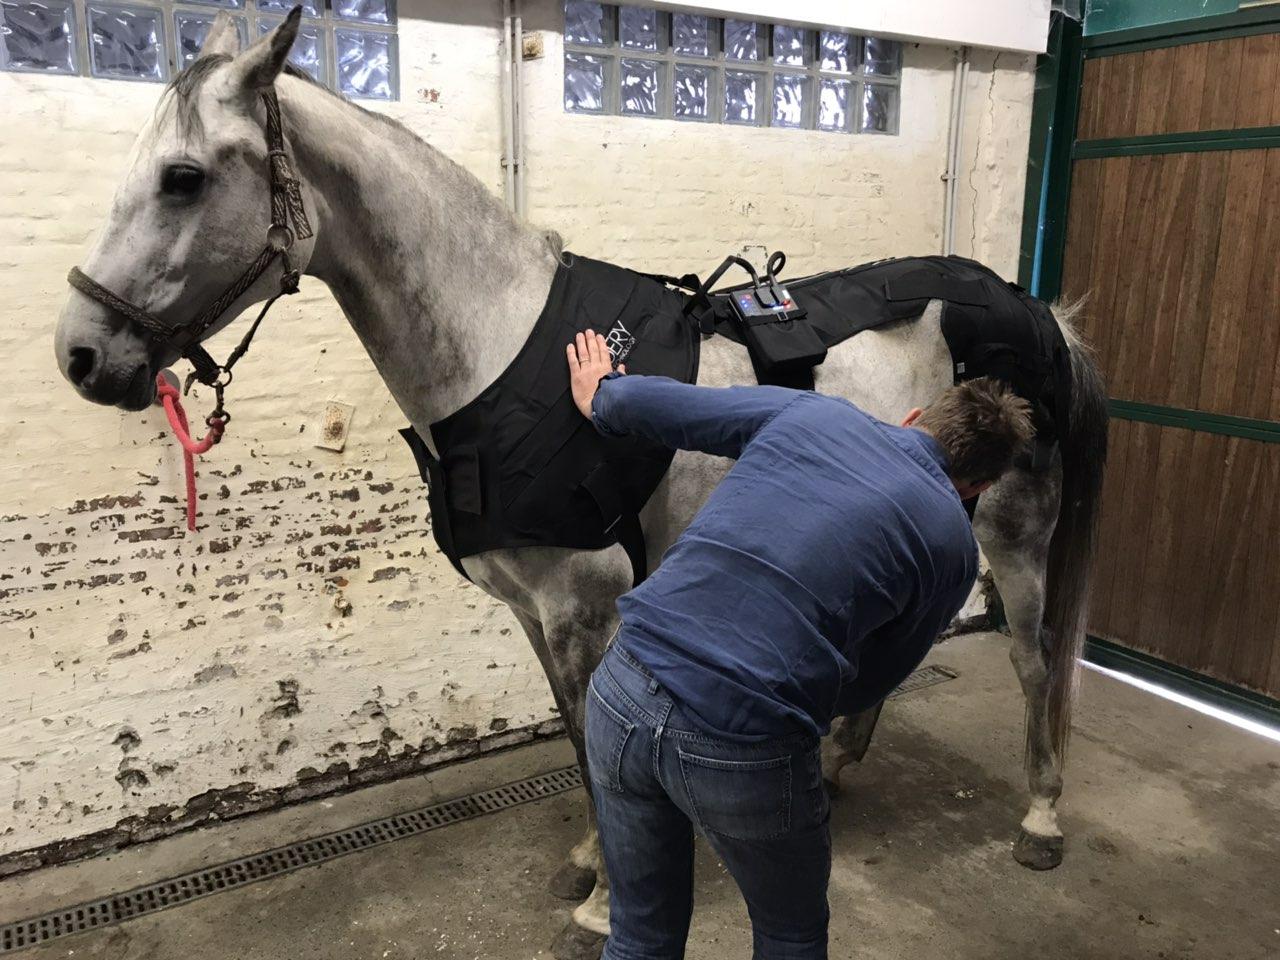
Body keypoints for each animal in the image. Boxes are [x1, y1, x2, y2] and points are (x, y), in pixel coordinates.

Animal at [52, 14, 1107, 958]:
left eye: (183, 178)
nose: (80, 356)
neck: (505, 352)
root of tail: (1036, 313)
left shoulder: (584, 608)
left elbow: (598, 755)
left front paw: (602, 902)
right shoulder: (534, 612)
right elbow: (573, 742)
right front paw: (588, 863)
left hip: (1014, 533)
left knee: (1031, 660)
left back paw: (1042, 819)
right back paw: (845, 762)